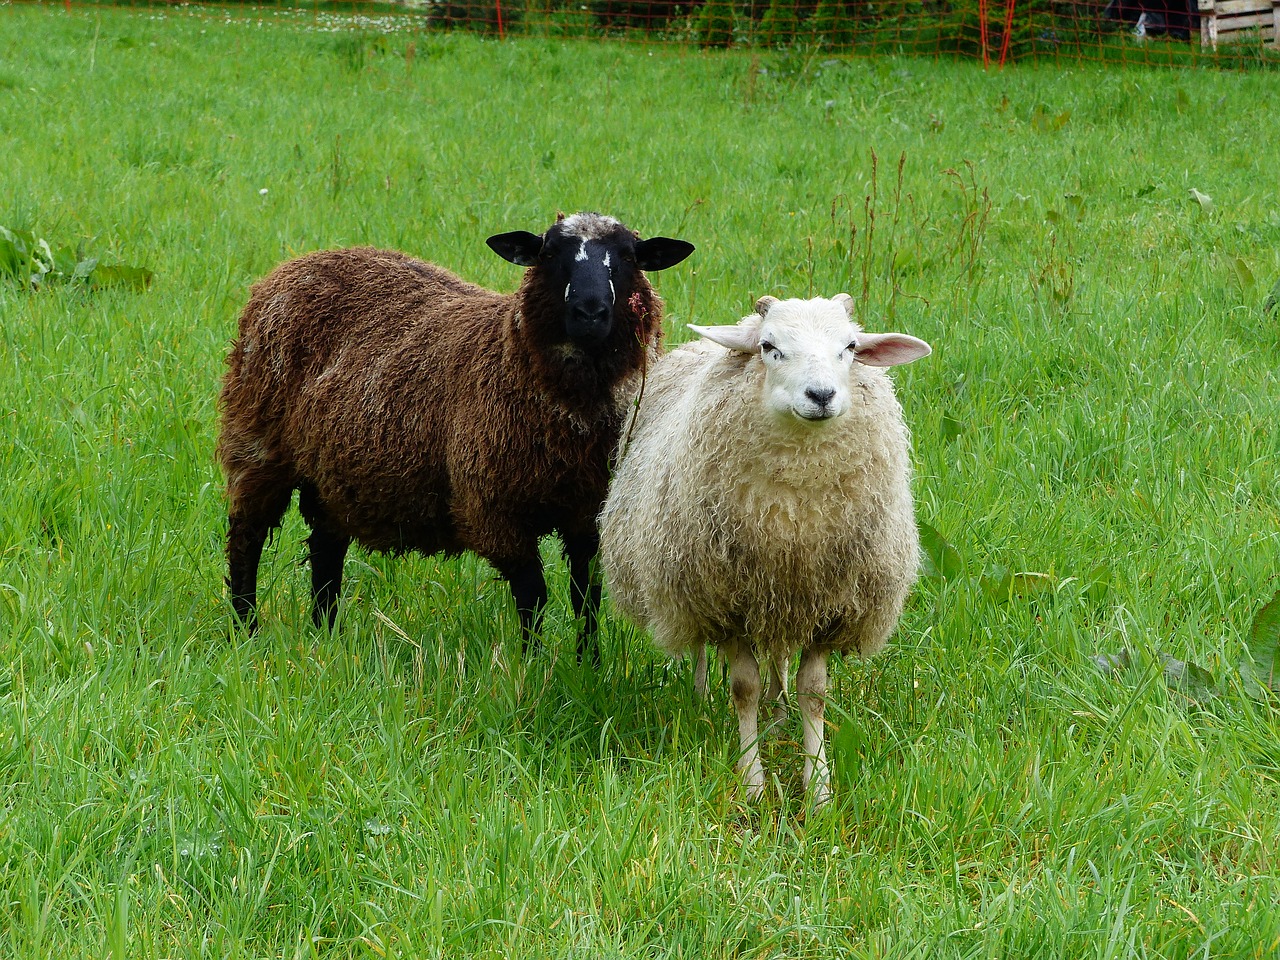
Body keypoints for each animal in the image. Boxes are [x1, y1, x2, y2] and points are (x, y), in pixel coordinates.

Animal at [217, 212, 694, 662]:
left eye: (629, 256)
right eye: (549, 253)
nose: (589, 312)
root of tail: (297, 264)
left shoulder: (588, 510)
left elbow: (586, 595)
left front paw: (588, 662)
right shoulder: (493, 508)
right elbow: (533, 596)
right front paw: (534, 666)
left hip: (332, 474)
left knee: (325, 550)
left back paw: (324, 634)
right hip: (255, 444)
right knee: (246, 540)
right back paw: (247, 632)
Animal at [599, 294, 930, 804]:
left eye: (850, 347)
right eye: (769, 347)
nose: (821, 395)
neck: (797, 506)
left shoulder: (828, 603)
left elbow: (814, 693)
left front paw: (818, 786)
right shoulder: (725, 602)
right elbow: (743, 688)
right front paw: (752, 780)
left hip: (781, 597)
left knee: (779, 656)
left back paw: (779, 714)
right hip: (686, 580)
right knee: (702, 649)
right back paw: (703, 700)